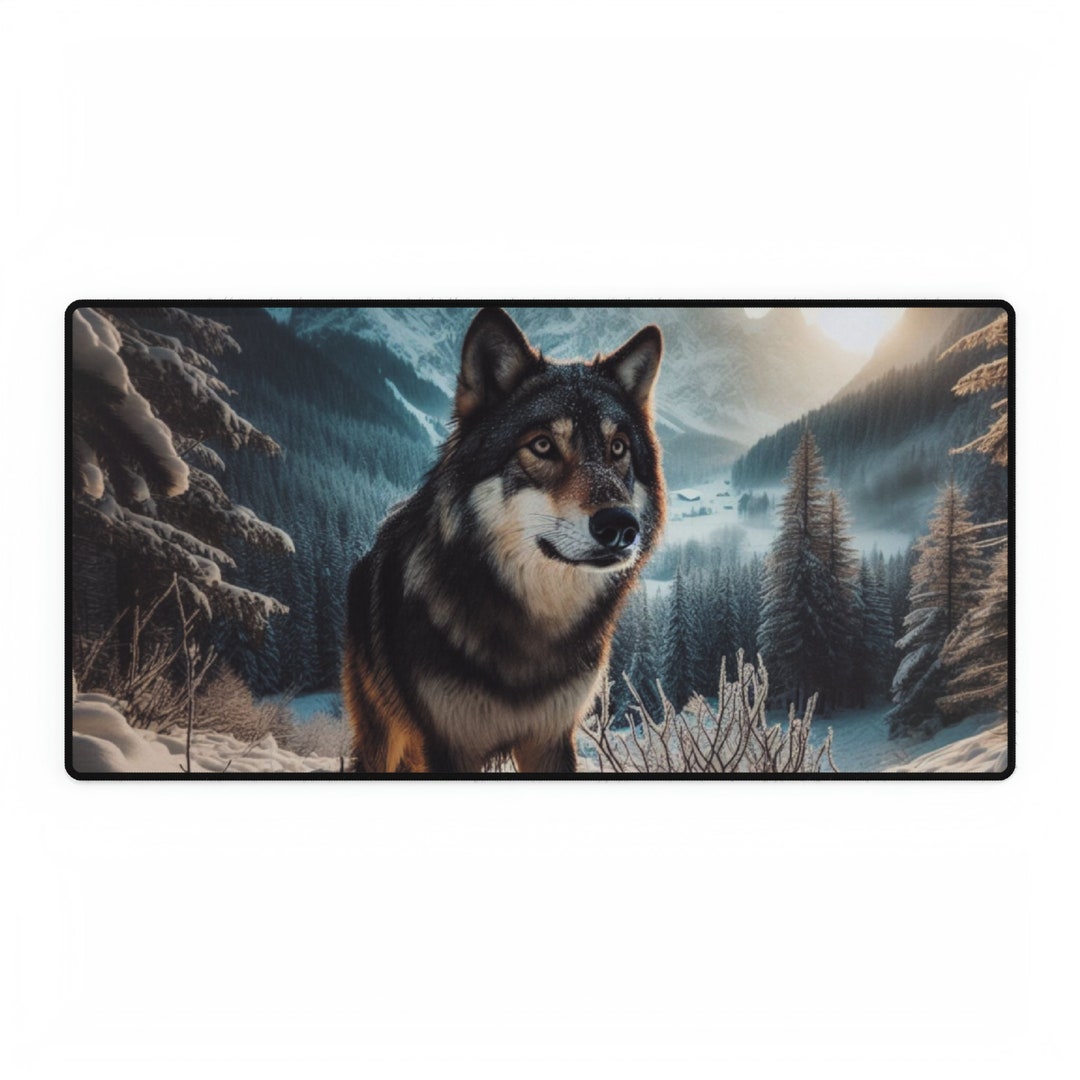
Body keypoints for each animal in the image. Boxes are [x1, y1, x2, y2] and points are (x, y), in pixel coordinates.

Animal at [342, 307, 665, 773]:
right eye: (543, 445)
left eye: (618, 448)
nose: (620, 526)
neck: (531, 626)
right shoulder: (447, 745)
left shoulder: (550, 738)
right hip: (382, 737)